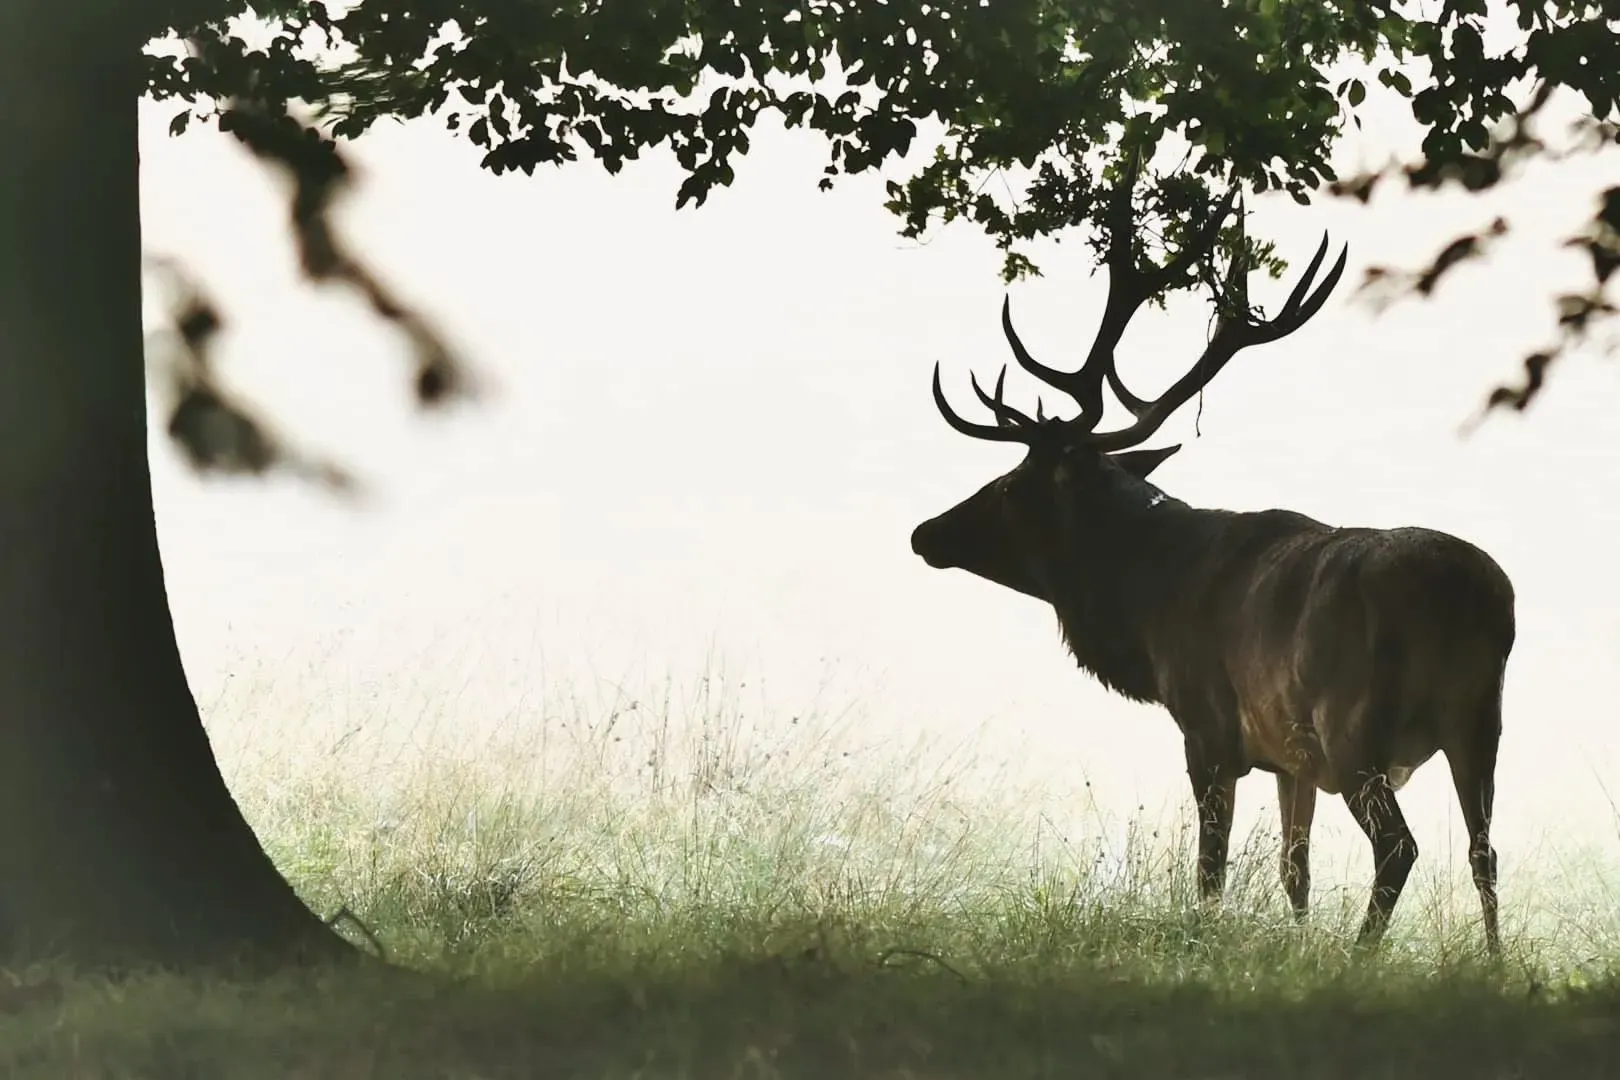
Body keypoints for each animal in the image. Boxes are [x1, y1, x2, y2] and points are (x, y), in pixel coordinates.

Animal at [909, 185, 1516, 957]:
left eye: (1012, 486)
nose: (924, 533)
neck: (1147, 610)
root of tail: (1474, 600)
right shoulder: (1291, 756)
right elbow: (1295, 869)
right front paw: (1296, 946)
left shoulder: (1207, 726)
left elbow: (1210, 870)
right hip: (1480, 720)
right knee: (1483, 849)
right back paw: (1493, 963)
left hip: (1355, 722)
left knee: (1400, 847)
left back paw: (1363, 955)